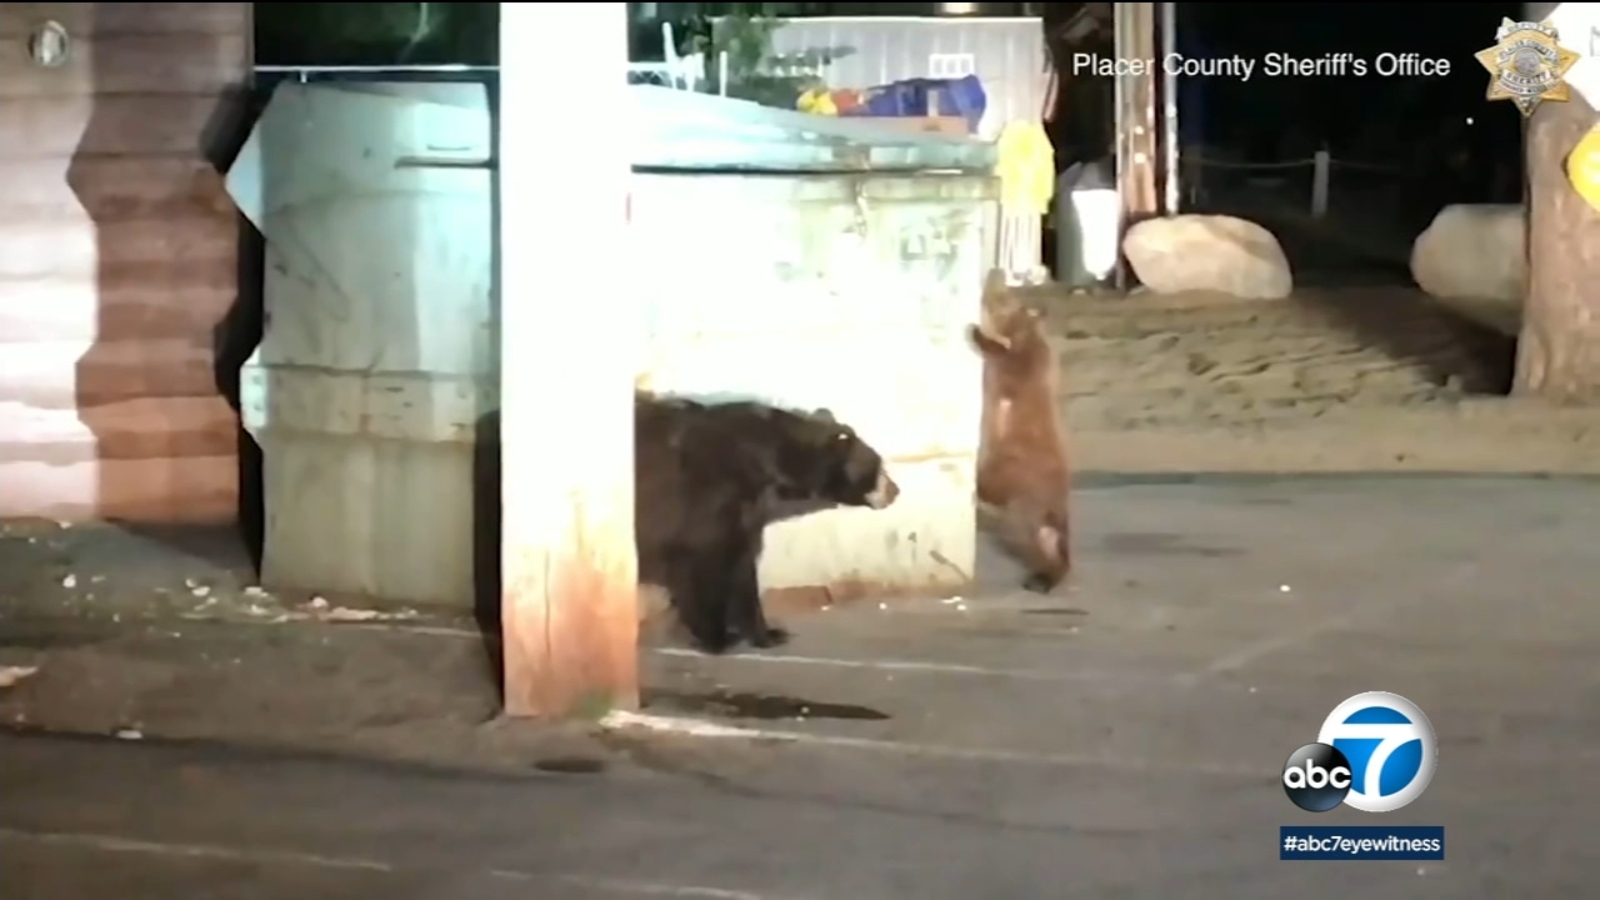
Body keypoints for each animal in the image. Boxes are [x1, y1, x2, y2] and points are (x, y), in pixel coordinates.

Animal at [634, 392, 900, 653]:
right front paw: (718, 638)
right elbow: (706, 562)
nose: (895, 490)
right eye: (879, 465)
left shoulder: (746, 513)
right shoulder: (706, 501)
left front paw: (769, 633)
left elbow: (743, 567)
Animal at [967, 269, 1072, 593]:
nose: (995, 272)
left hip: (1014, 467)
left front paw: (974, 331)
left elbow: (1003, 358)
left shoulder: (1024, 365)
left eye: (1004, 296)